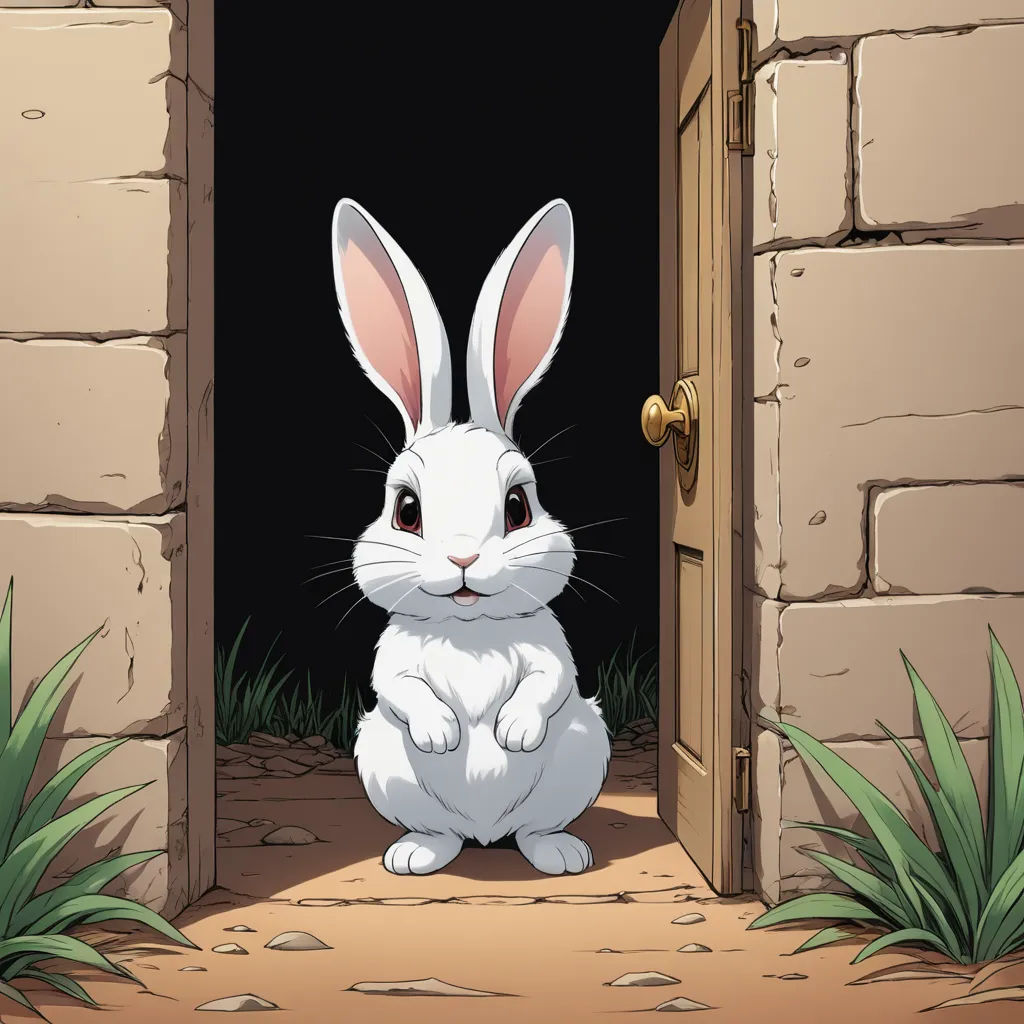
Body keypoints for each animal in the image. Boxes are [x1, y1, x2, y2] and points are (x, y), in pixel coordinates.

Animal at [330, 196, 611, 876]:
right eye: (406, 510)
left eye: (517, 507)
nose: (463, 558)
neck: (470, 630)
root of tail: (488, 835)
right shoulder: (395, 660)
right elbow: (403, 689)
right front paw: (441, 733)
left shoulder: (550, 653)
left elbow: (546, 684)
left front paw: (513, 731)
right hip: (381, 761)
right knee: (443, 833)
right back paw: (414, 855)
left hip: (584, 751)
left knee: (535, 827)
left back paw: (561, 855)